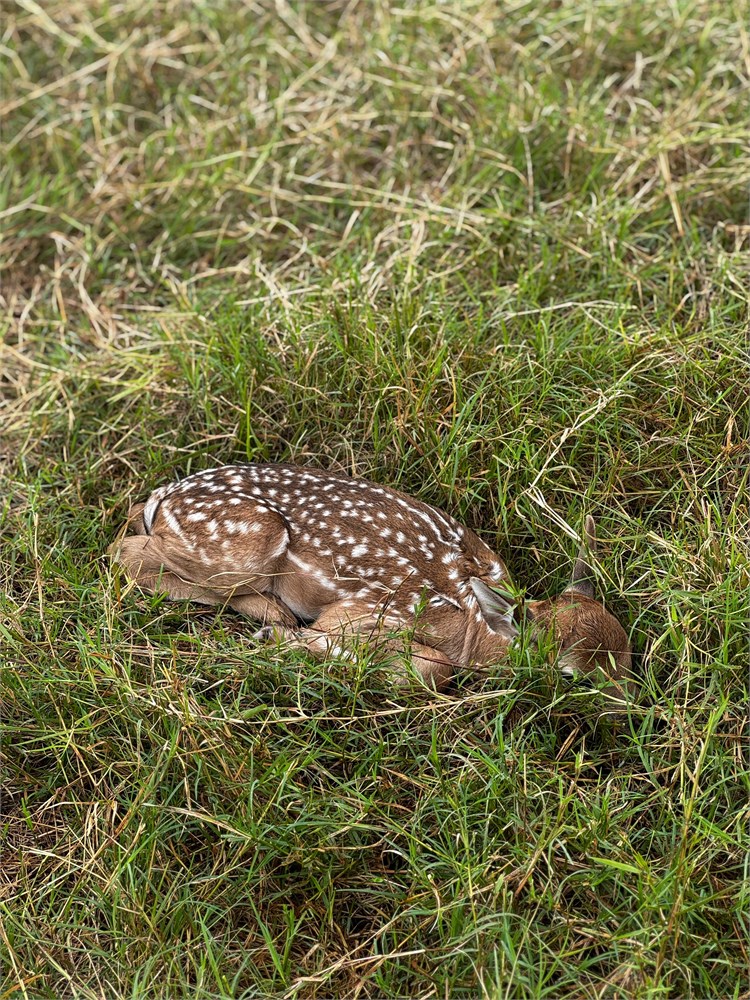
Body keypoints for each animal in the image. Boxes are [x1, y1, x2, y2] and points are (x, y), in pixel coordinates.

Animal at [112, 463, 632, 698]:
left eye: (629, 659)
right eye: (574, 678)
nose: (628, 709)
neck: (470, 625)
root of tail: (164, 496)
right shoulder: (366, 610)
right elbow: (433, 669)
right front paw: (285, 642)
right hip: (247, 545)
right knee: (126, 554)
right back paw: (272, 614)